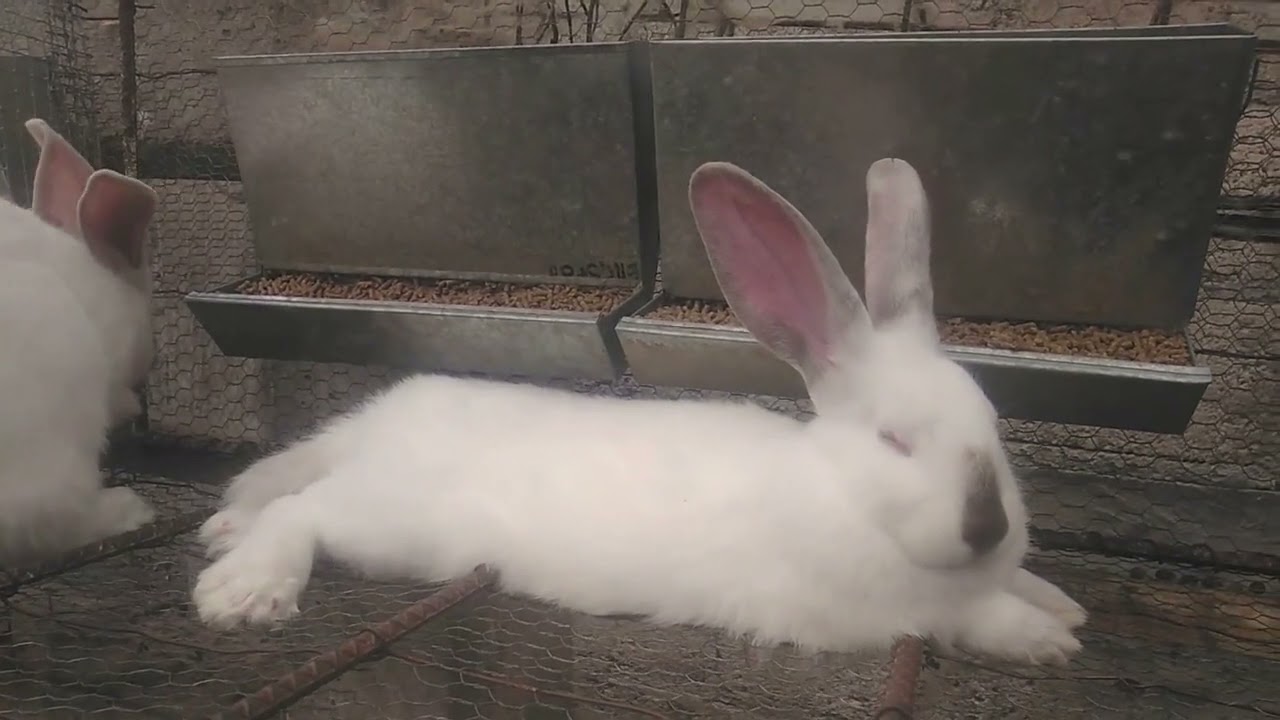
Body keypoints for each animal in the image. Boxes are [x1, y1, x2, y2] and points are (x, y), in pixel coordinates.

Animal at [192, 158, 1085, 665]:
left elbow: (1013, 589)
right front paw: (1049, 640)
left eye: (994, 426)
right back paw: (243, 590)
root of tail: (378, 421)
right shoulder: (880, 610)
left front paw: (1061, 603)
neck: (842, 496)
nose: (987, 528)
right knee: (305, 512)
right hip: (403, 526)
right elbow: (970, 618)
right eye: (895, 440)